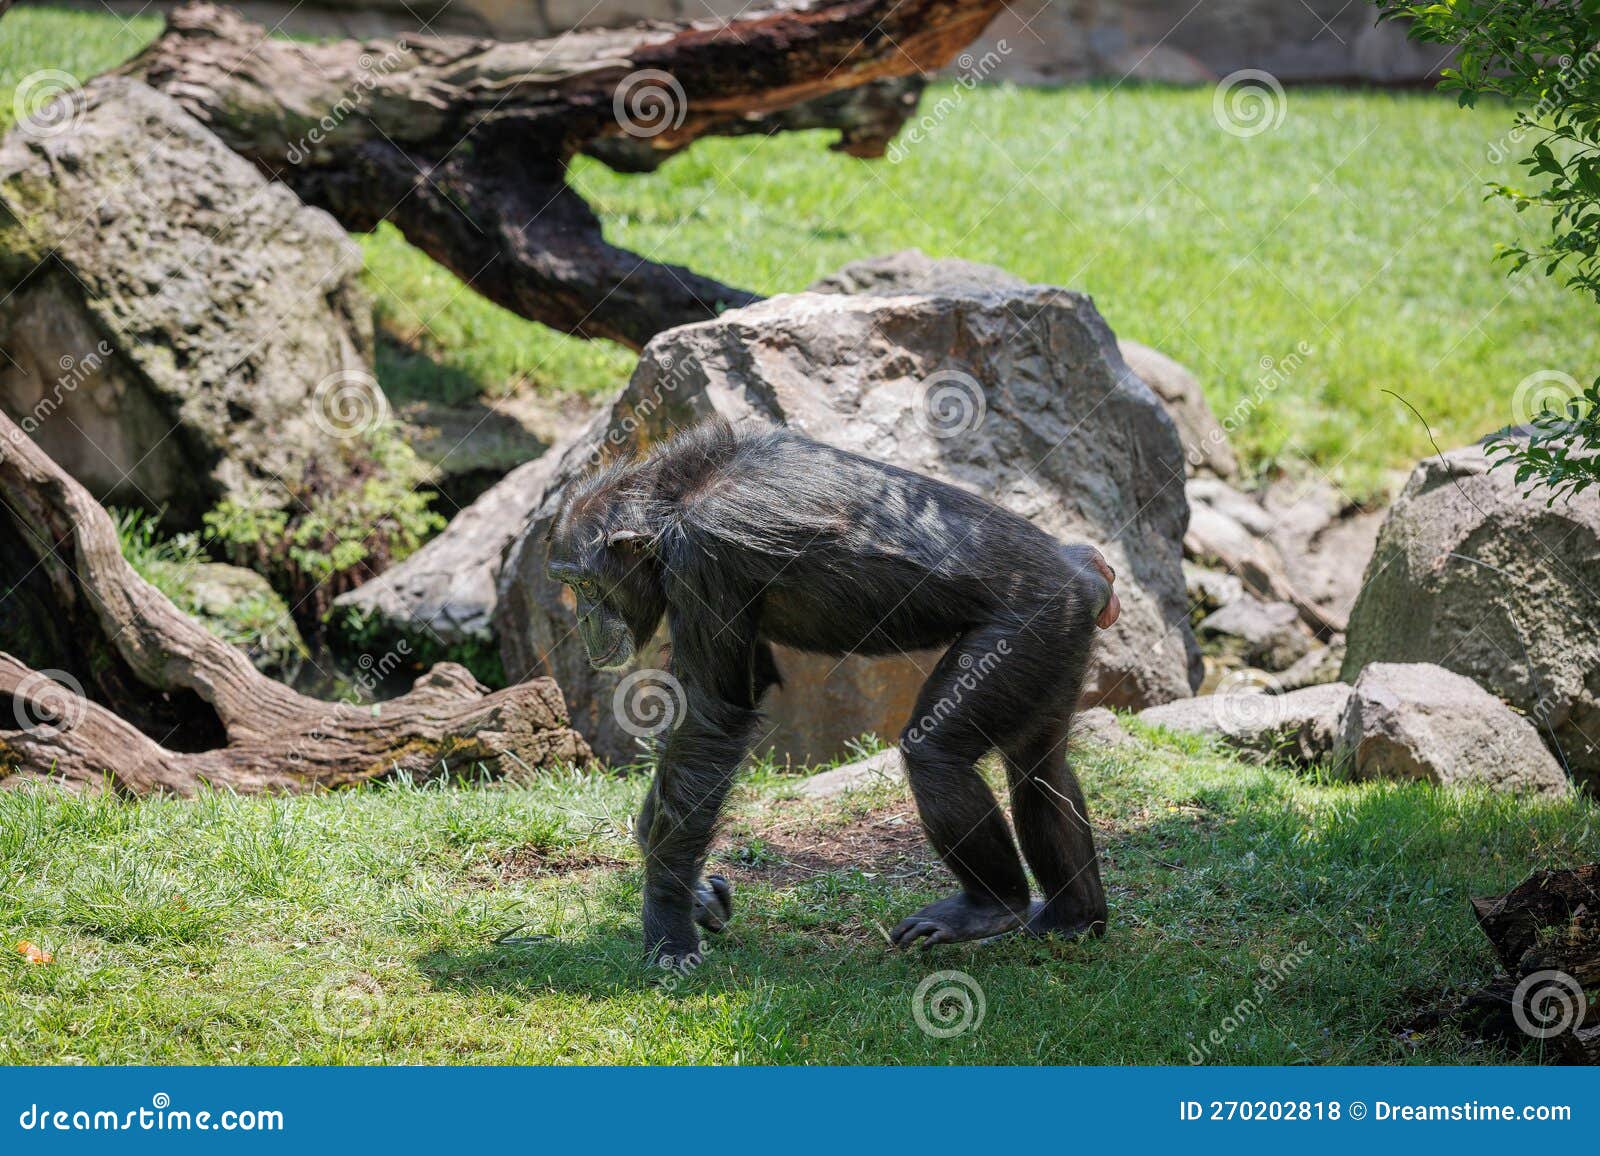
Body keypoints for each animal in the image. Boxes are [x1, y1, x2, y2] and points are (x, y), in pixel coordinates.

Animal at [544, 419, 1119, 967]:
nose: (583, 620)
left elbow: (710, 716)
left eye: (587, 585)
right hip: (1058, 647)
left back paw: (991, 906)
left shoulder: (703, 561)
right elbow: (733, 697)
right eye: (571, 587)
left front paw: (668, 923)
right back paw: (1072, 916)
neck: (672, 501)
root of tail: (1088, 573)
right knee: (1039, 767)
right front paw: (694, 888)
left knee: (935, 752)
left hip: (1027, 631)